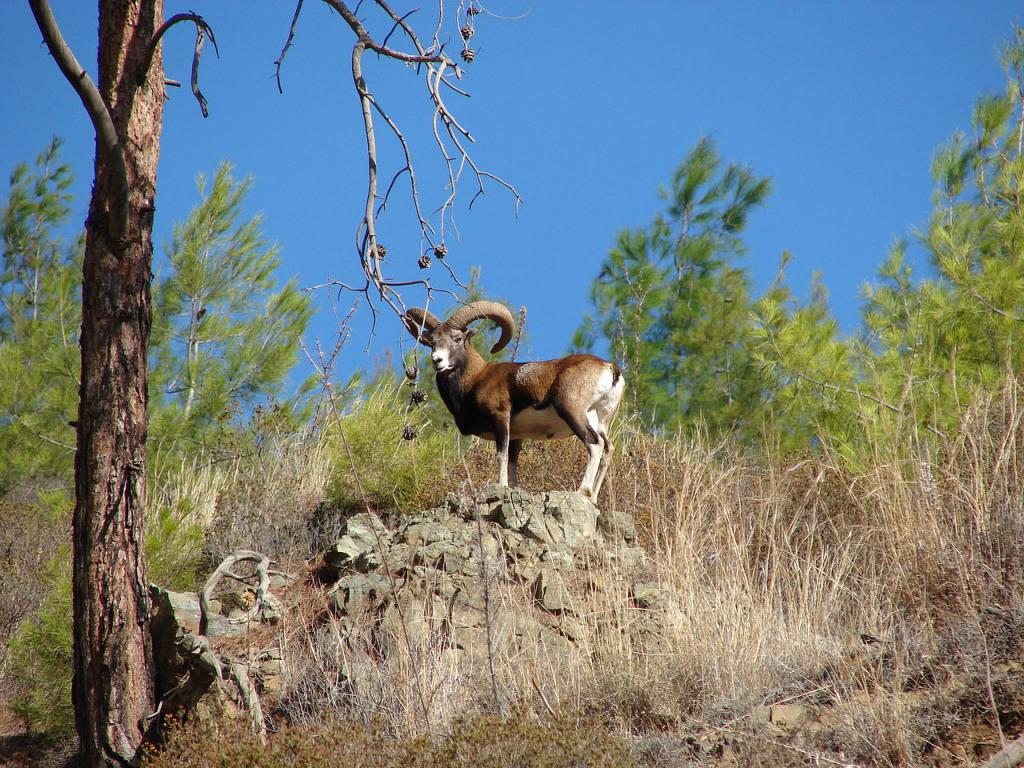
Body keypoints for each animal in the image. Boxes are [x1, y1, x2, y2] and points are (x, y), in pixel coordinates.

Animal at [401, 301, 622, 499]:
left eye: (457, 338)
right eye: (432, 341)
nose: (437, 360)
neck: (476, 380)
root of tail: (610, 368)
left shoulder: (501, 419)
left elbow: (502, 455)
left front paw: (501, 487)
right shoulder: (517, 436)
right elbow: (512, 463)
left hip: (571, 412)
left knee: (594, 444)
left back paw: (582, 492)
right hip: (599, 420)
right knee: (608, 449)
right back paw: (593, 498)